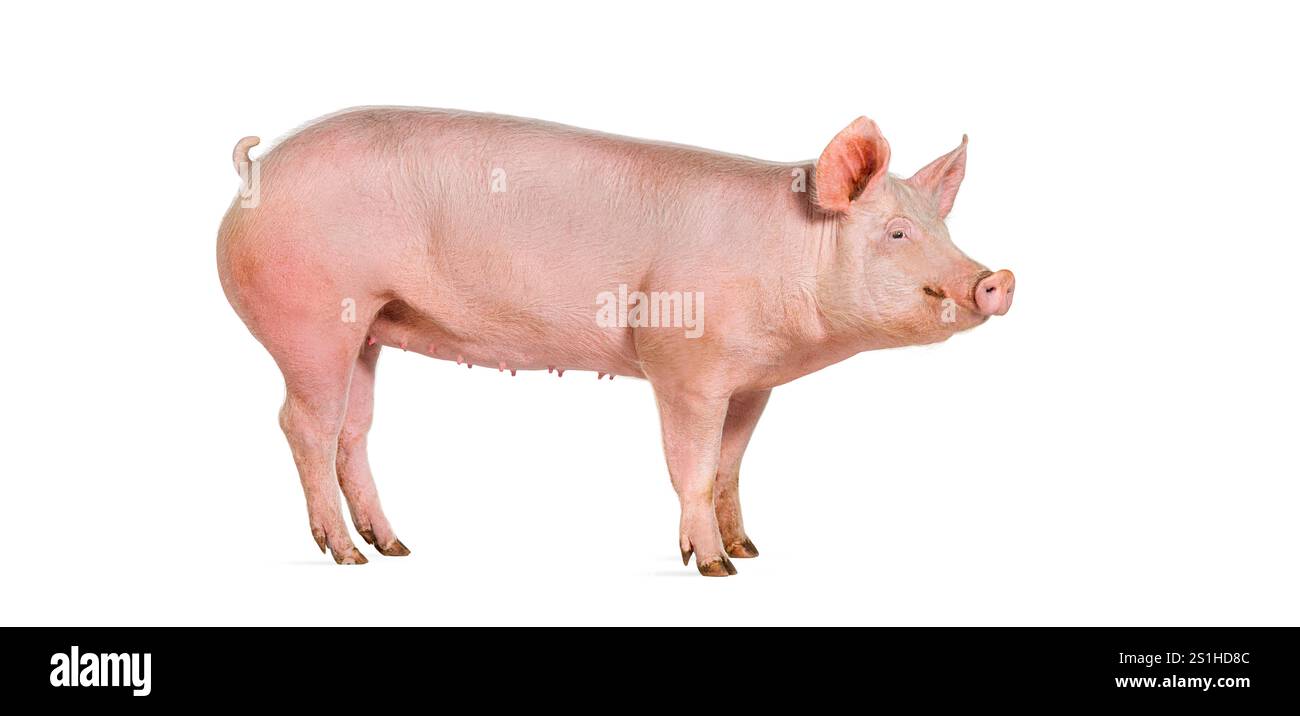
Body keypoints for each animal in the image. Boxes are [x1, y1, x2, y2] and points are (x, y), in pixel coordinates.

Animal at [216, 107, 1014, 575]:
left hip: (368, 328)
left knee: (352, 430)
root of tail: (256, 171)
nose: (995, 278)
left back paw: (396, 547)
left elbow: (730, 467)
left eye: (942, 229)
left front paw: (751, 550)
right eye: (897, 234)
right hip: (312, 319)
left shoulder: (752, 383)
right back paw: (346, 558)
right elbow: (693, 467)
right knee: (303, 425)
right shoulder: (682, 363)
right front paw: (715, 569)